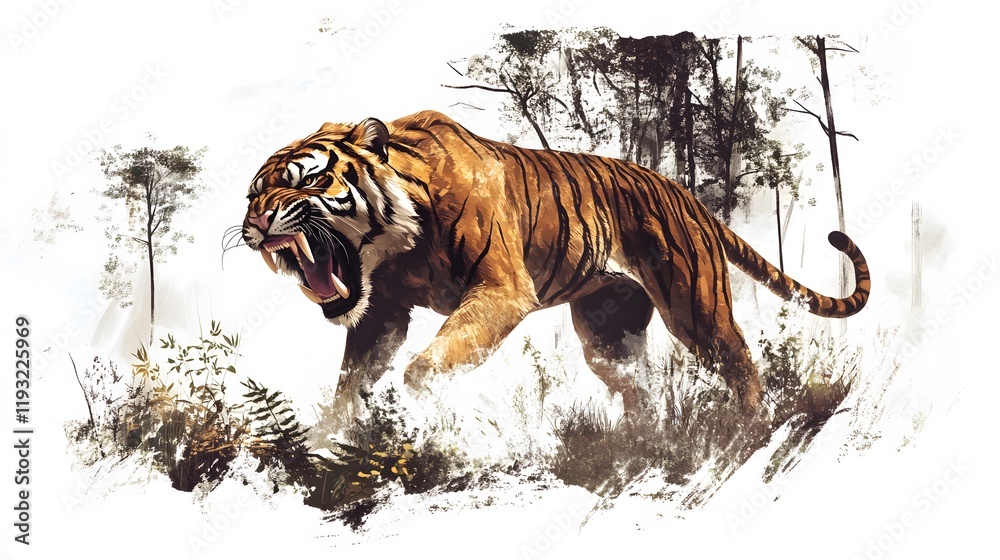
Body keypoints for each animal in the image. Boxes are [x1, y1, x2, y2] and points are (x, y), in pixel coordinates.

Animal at [241, 110, 870, 417]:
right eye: (253, 195)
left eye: (308, 181)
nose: (258, 225)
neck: (398, 247)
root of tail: (686, 195)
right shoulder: (380, 312)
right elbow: (349, 385)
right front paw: (328, 443)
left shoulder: (500, 291)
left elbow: (425, 368)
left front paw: (431, 418)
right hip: (608, 335)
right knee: (638, 392)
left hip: (696, 308)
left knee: (740, 362)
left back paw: (750, 430)